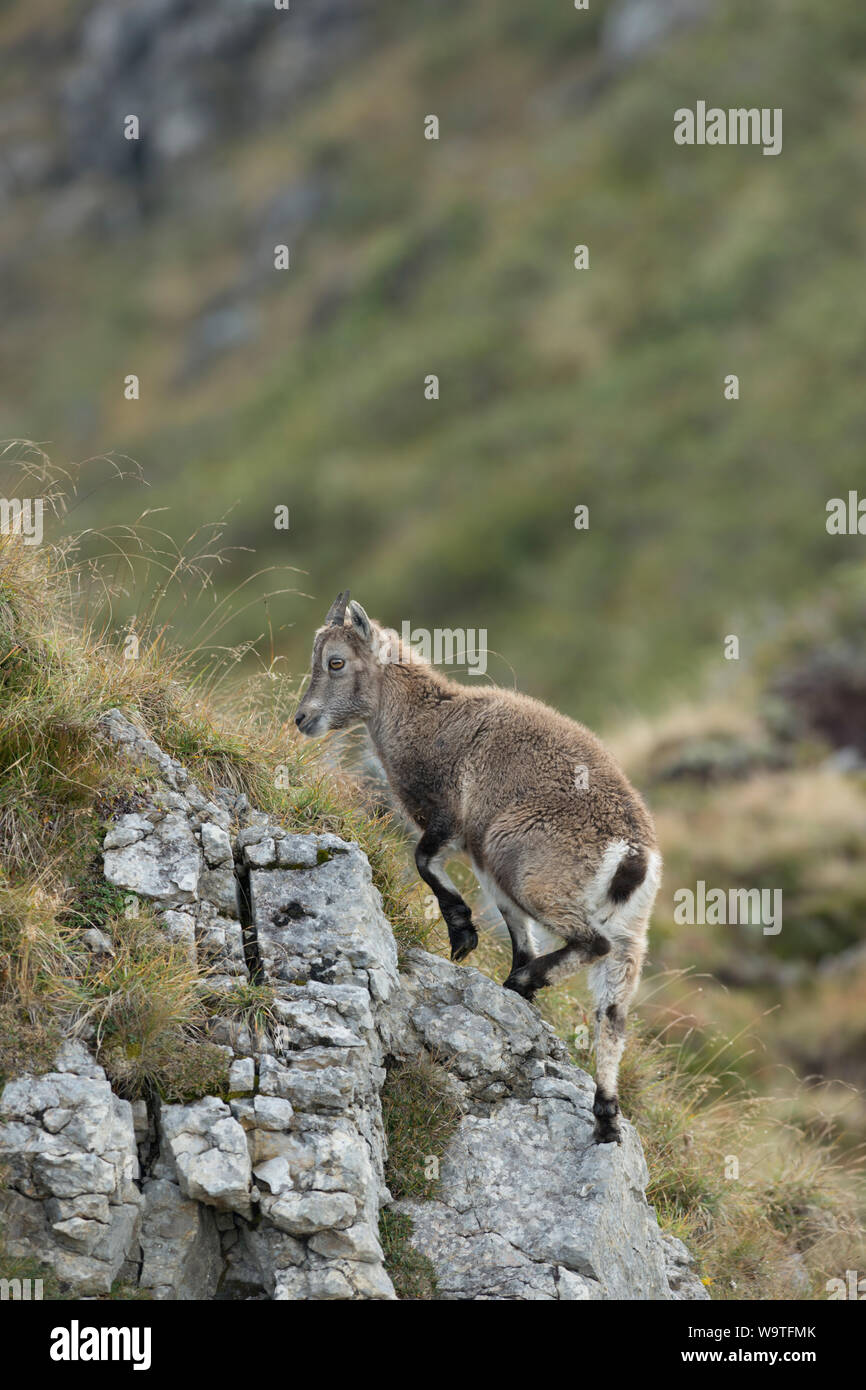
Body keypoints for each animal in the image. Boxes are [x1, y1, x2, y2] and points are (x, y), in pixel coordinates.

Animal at [294, 591, 661, 1143]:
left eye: (335, 661)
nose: (302, 719)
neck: (426, 718)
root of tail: (631, 856)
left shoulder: (452, 819)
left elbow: (424, 861)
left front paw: (463, 933)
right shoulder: (482, 862)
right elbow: (516, 931)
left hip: (532, 871)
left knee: (590, 943)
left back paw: (525, 983)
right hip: (630, 934)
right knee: (613, 1015)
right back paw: (604, 1113)